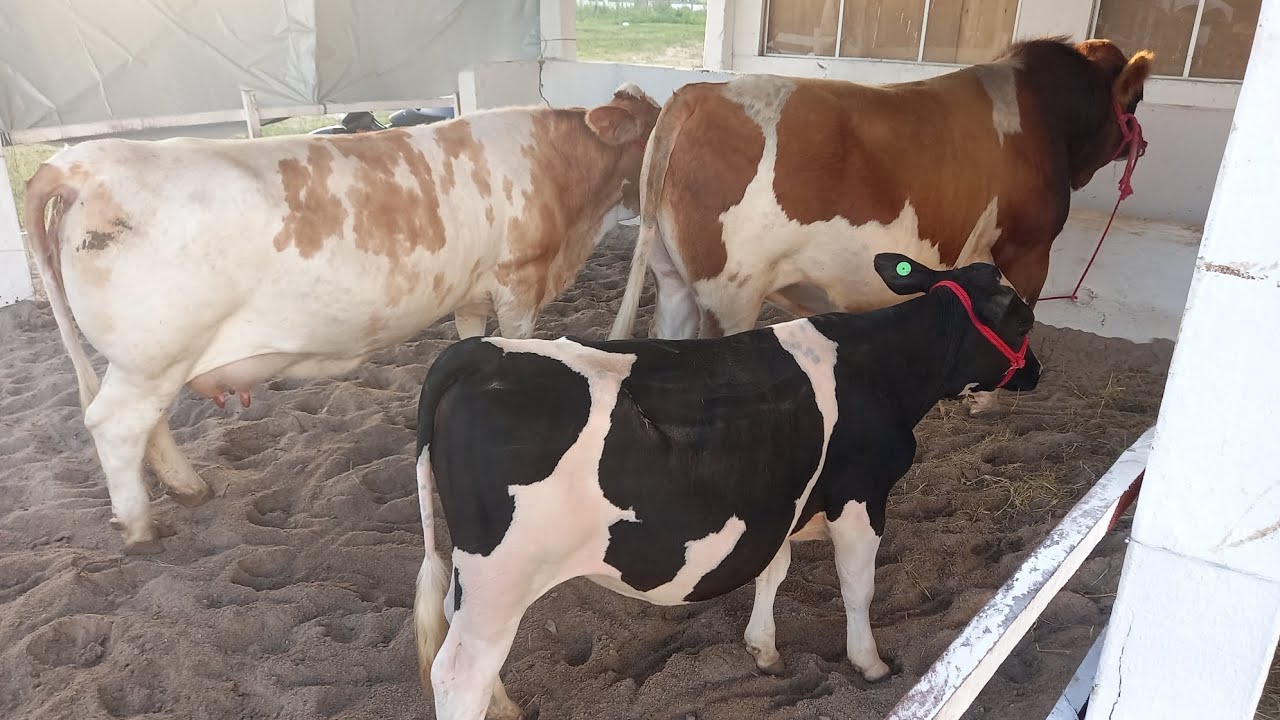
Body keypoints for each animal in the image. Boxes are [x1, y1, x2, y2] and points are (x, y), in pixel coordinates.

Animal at [23, 84, 661, 553]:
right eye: (656, 130)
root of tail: (83, 161)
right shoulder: (518, 283)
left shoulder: (474, 294)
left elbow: (472, 345)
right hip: (153, 355)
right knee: (116, 425)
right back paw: (140, 528)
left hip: (151, 362)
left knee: (148, 426)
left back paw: (189, 488)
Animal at [412, 253, 1041, 720]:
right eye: (1024, 320)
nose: (1035, 372)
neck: (880, 367)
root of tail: (475, 354)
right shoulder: (861, 495)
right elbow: (857, 585)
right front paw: (871, 664)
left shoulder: (774, 501)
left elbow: (772, 569)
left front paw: (763, 649)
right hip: (501, 574)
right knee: (459, 671)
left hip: (476, 575)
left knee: (457, 628)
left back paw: (507, 706)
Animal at [607, 37, 1153, 413]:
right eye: (1137, 99)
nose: (1143, 145)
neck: (1045, 117)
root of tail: (699, 91)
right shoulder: (1028, 247)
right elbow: (1019, 312)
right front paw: (987, 400)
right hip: (730, 293)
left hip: (673, 279)